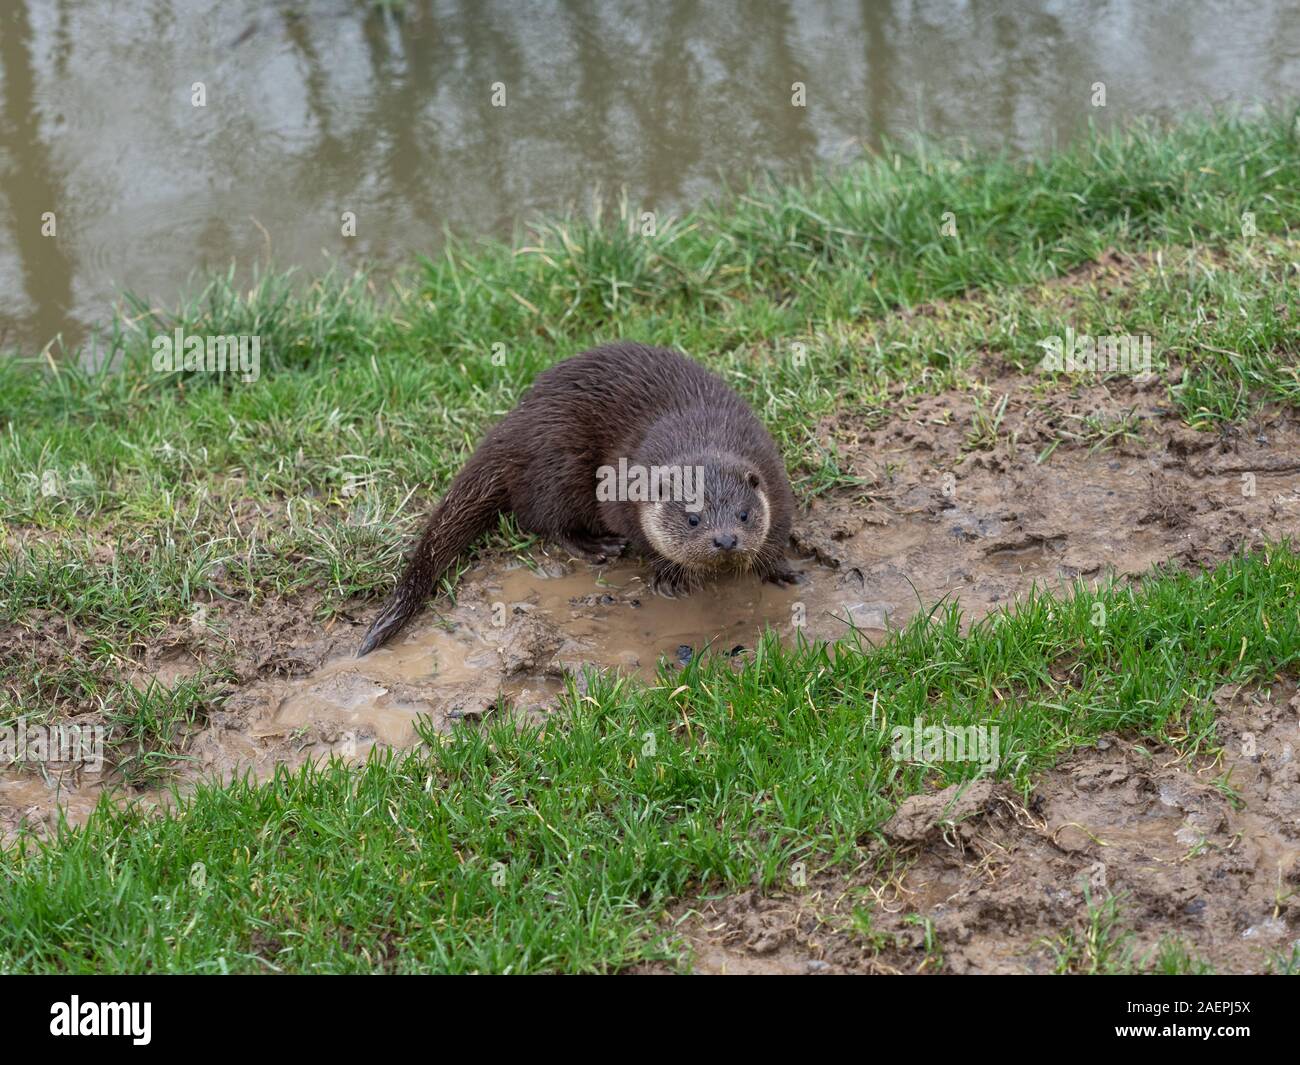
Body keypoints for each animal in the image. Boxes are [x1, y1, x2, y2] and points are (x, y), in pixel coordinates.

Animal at [358, 342, 799, 655]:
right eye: (693, 519)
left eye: (743, 516)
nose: (725, 540)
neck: (700, 432)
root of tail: (511, 430)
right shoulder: (619, 498)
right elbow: (640, 539)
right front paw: (668, 576)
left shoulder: (775, 482)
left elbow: (777, 533)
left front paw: (779, 568)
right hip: (560, 467)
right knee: (545, 520)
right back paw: (596, 546)